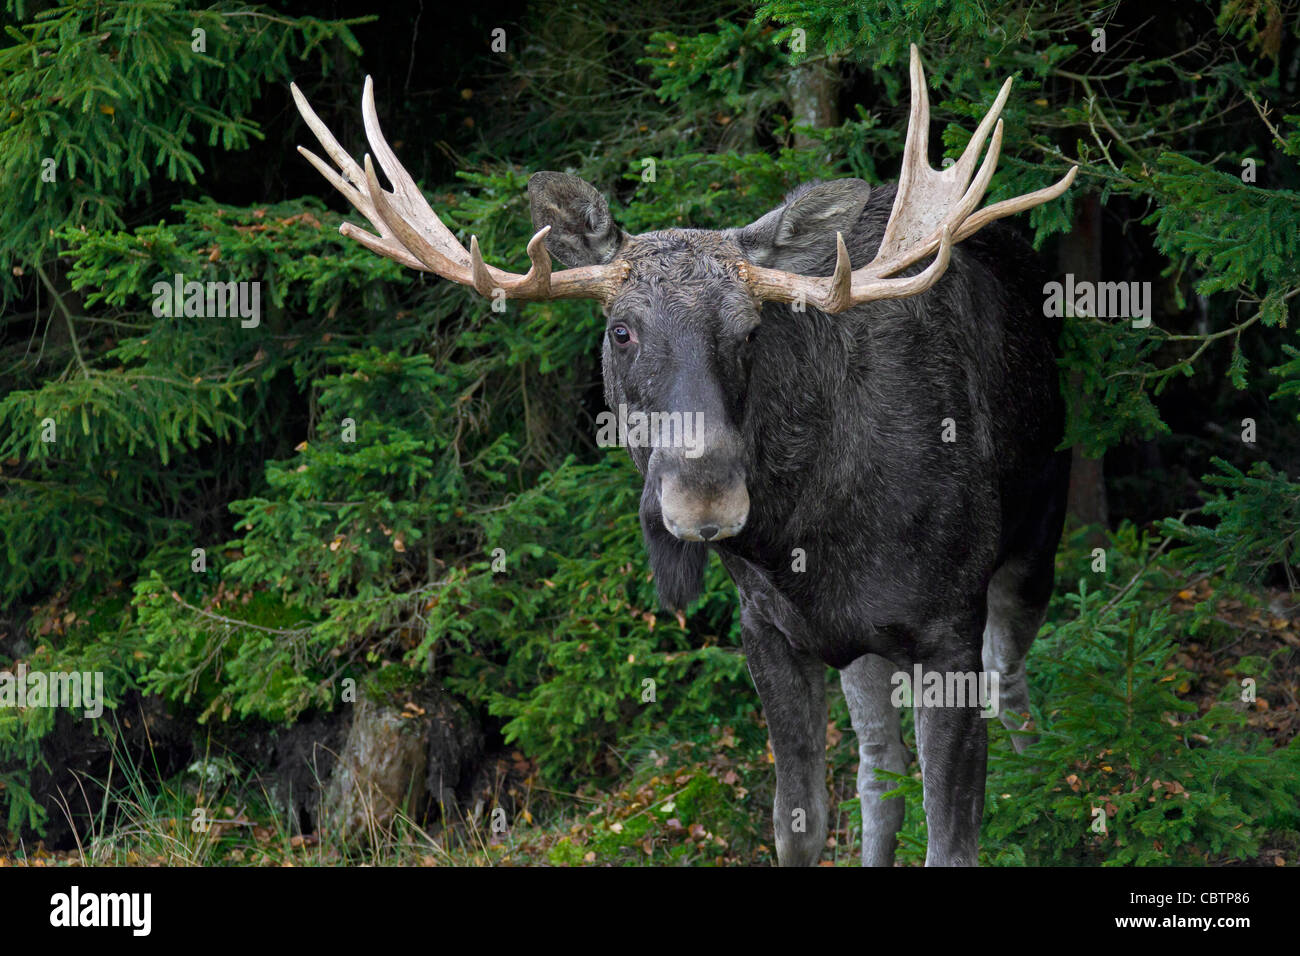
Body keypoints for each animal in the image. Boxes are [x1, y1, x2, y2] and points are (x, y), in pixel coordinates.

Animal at [291, 45, 1077, 866]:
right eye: (621, 330)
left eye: (752, 331)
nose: (706, 498)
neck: (815, 531)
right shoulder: (767, 627)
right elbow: (797, 824)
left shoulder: (948, 627)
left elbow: (953, 840)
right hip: (863, 649)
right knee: (878, 775)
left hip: (1037, 537)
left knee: (1019, 706)